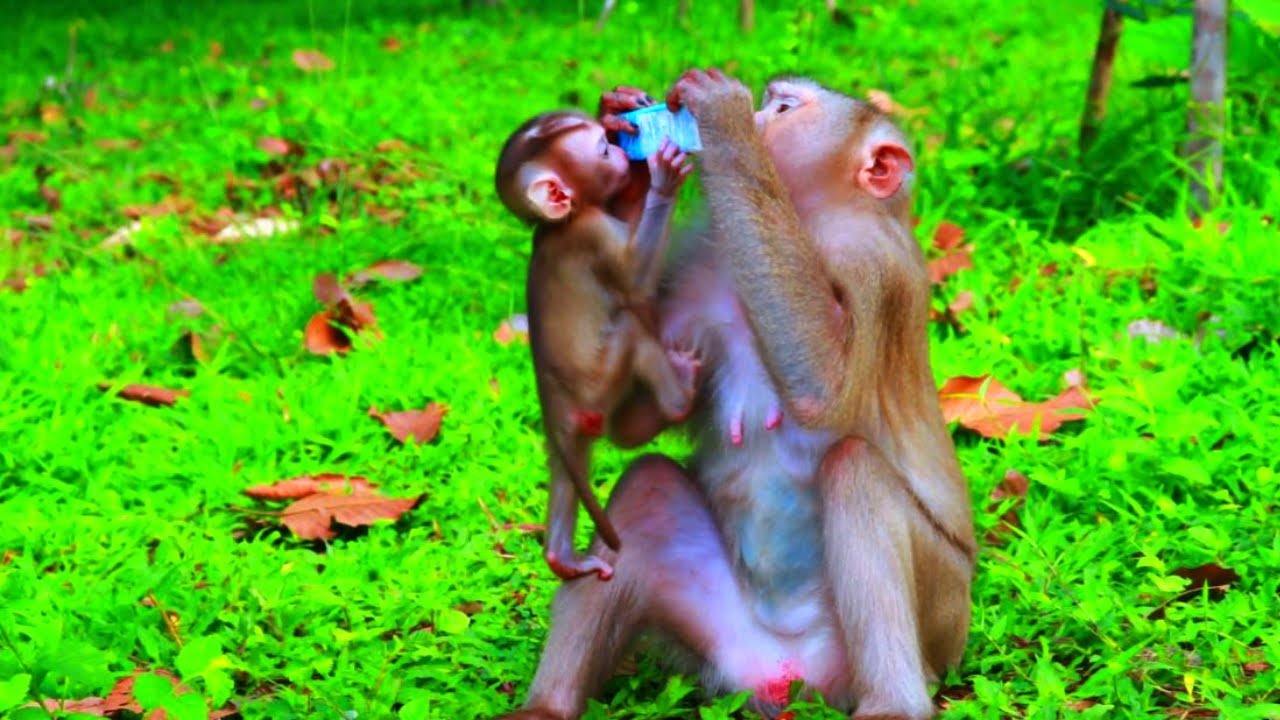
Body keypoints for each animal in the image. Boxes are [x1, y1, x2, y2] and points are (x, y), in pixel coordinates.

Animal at [495, 110, 698, 582]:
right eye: (603, 151)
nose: (623, 152)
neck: (561, 222)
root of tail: (555, 405)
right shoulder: (590, 233)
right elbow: (635, 280)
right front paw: (663, 178)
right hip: (601, 381)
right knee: (629, 324)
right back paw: (678, 397)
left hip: (573, 423)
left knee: (567, 469)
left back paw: (560, 558)